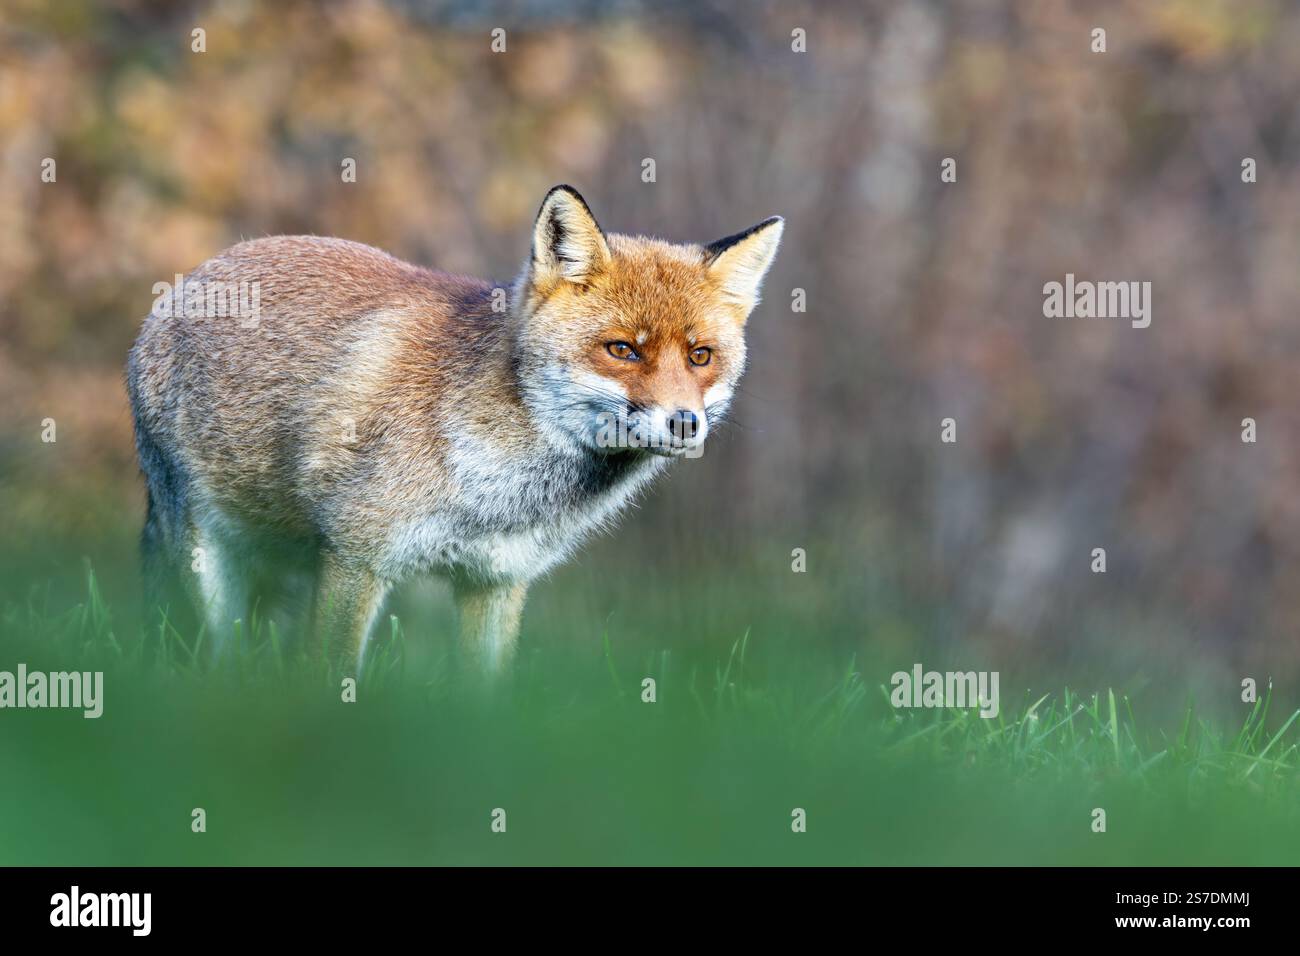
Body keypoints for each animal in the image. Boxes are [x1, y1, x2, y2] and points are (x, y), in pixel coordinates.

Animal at [126, 185, 783, 671]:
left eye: (699, 356)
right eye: (622, 350)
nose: (684, 422)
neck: (498, 490)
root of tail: (190, 280)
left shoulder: (496, 580)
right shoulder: (355, 558)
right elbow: (329, 675)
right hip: (206, 561)